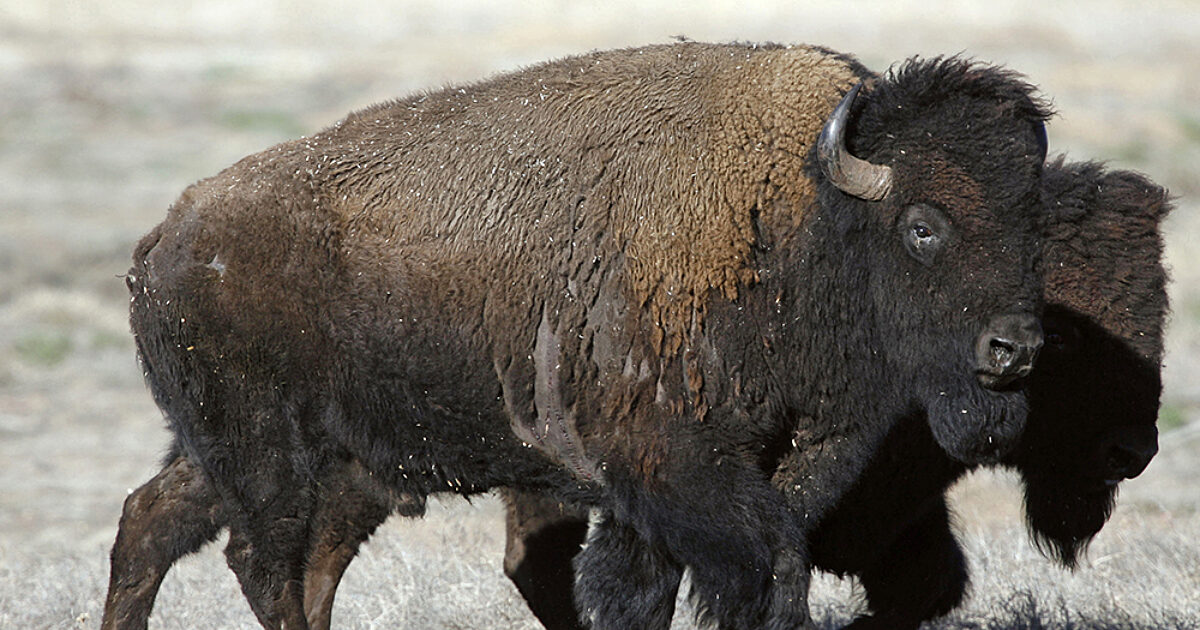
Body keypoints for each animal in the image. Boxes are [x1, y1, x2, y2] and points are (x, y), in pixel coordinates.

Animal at [103, 42, 1050, 629]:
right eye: (923, 226)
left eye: (1030, 225)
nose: (1014, 350)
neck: (804, 214)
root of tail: (163, 242)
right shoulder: (675, 466)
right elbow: (766, 569)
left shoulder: (759, 468)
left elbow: (650, 587)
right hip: (266, 452)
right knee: (263, 559)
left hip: (255, 455)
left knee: (160, 523)